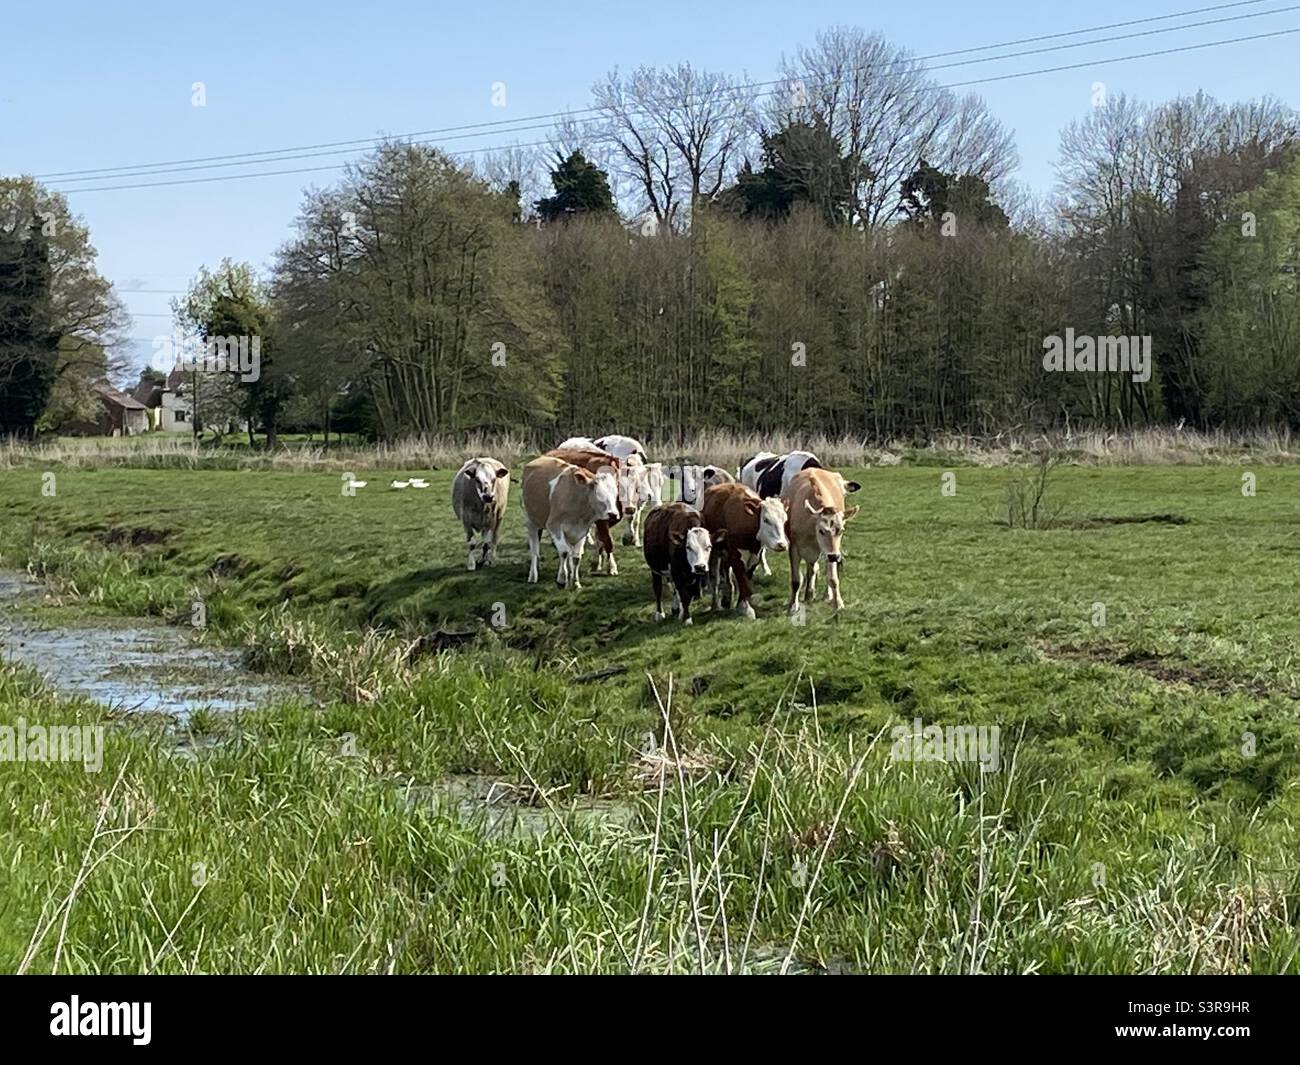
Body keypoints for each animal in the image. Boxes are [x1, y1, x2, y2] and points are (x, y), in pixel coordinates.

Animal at [521, 456, 620, 589]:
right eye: (598, 493)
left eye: (615, 493)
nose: (613, 514)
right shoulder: (554, 526)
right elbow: (563, 552)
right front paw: (562, 579)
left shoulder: (582, 530)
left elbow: (576, 557)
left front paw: (575, 581)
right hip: (531, 522)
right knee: (534, 550)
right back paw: (533, 575)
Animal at [545, 446, 636, 575]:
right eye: (619, 486)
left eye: (635, 484)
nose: (630, 509)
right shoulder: (601, 520)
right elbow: (608, 541)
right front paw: (611, 567)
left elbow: (600, 539)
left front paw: (596, 562)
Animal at [700, 482, 789, 620]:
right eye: (766, 520)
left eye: (784, 520)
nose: (782, 544)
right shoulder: (736, 556)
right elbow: (742, 580)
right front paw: (745, 609)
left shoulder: (755, 556)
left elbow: (747, 580)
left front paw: (742, 604)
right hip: (714, 553)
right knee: (715, 579)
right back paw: (715, 605)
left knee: (727, 577)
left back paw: (727, 600)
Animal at [783, 467, 861, 613]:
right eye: (821, 531)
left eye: (841, 530)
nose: (834, 556)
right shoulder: (794, 548)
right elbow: (796, 580)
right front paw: (793, 605)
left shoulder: (830, 552)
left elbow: (833, 578)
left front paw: (838, 603)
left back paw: (824, 594)